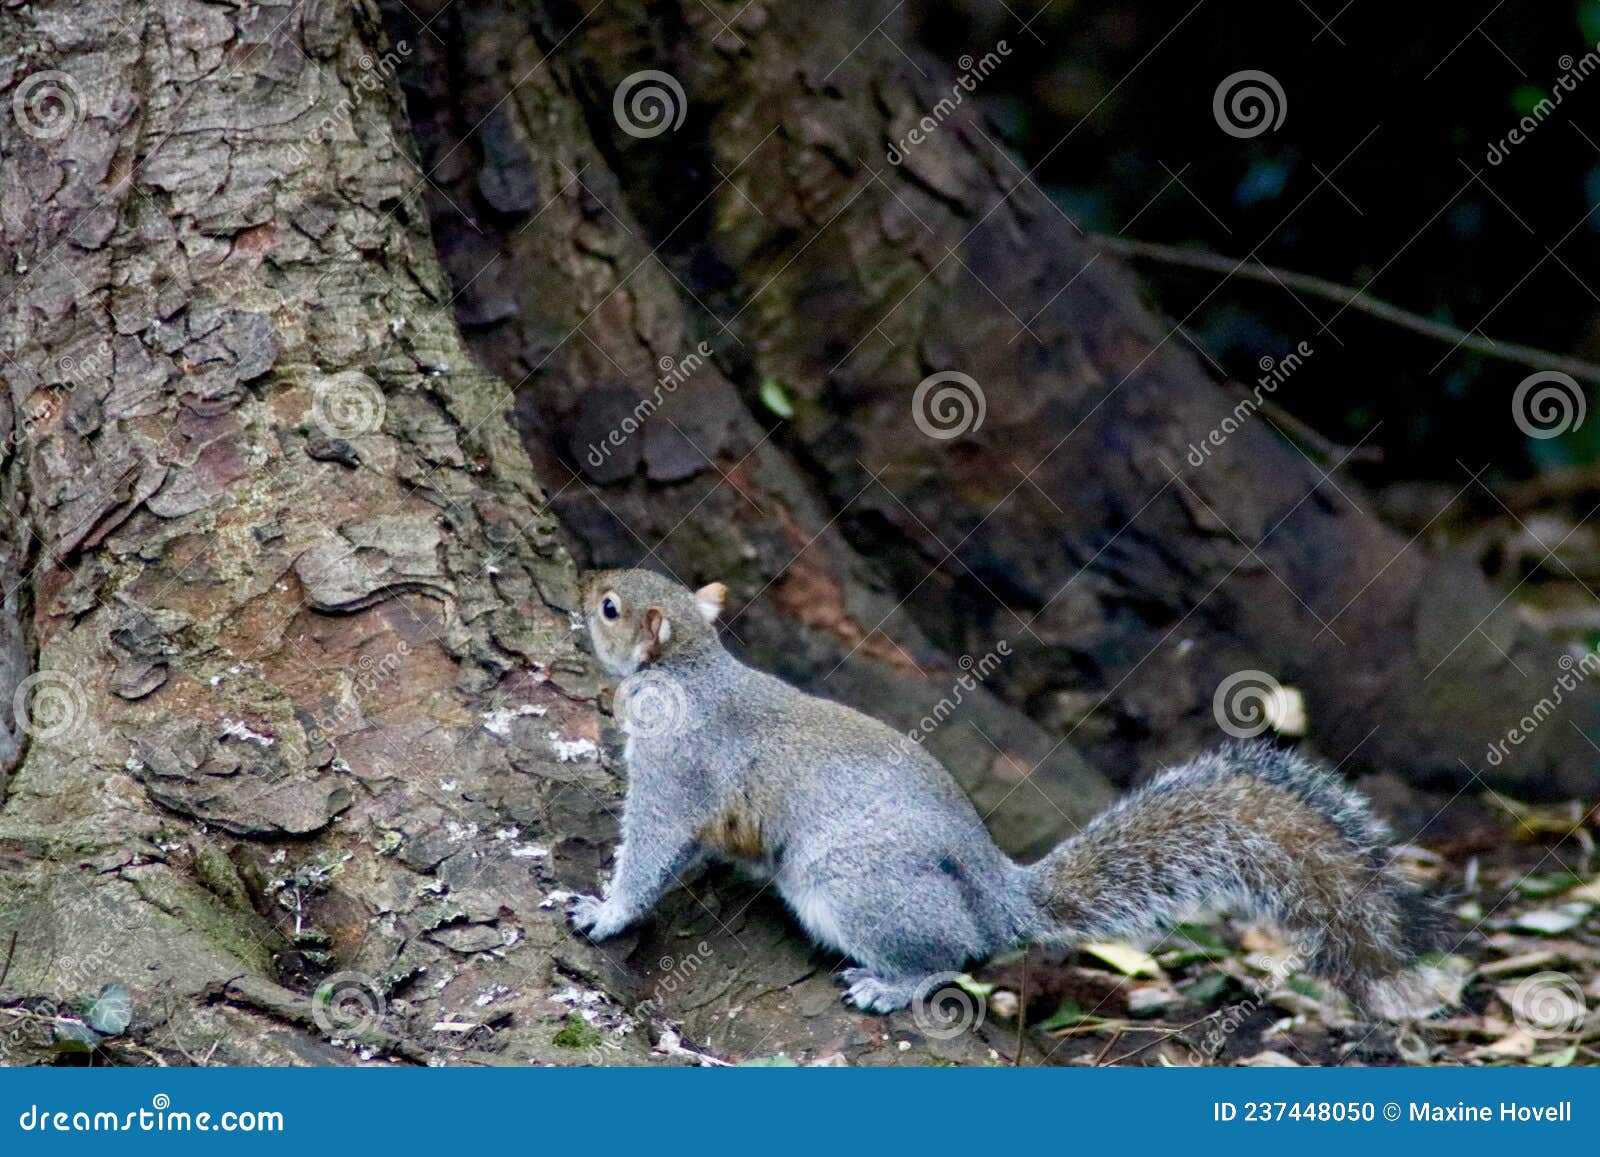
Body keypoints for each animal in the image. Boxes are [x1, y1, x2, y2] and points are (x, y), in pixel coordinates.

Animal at [569, 567, 1448, 1018]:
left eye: (611, 606)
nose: (582, 583)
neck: (688, 669)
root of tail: (999, 894)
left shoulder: (679, 770)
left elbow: (652, 847)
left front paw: (604, 910)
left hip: (853, 885)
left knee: (952, 952)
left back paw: (892, 983)